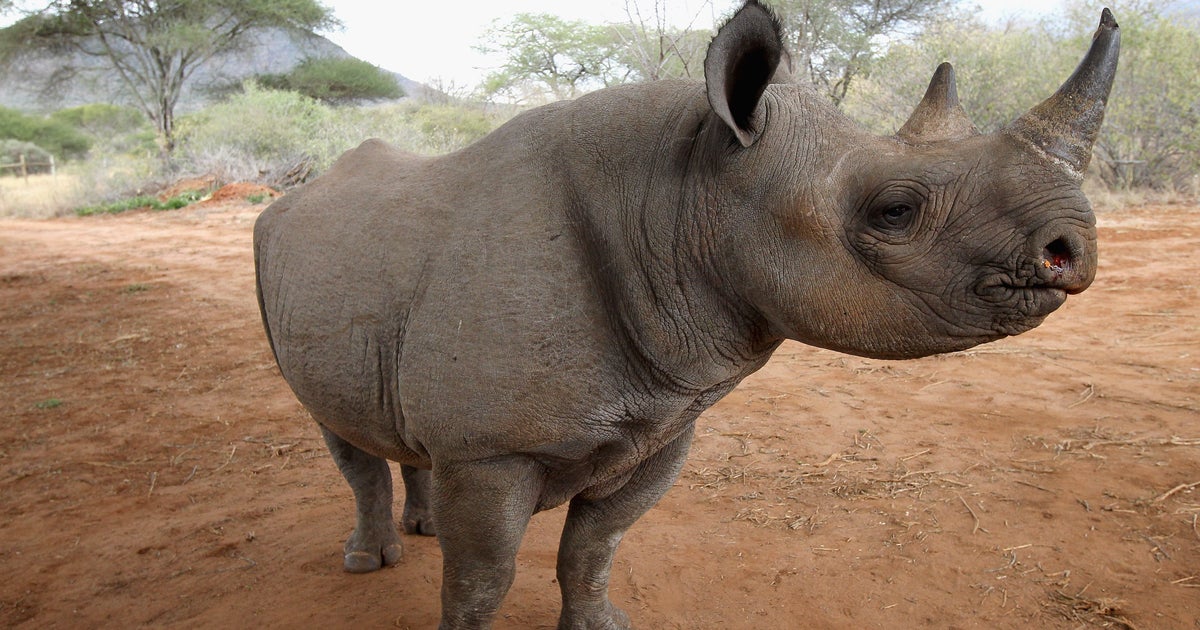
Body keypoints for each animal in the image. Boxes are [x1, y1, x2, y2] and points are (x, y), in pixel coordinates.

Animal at [253, 2, 1120, 627]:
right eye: (895, 211)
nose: (1070, 248)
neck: (683, 194)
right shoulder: (491, 447)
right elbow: (481, 582)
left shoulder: (666, 416)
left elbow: (594, 547)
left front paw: (599, 627)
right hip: (280, 251)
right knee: (337, 430)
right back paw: (369, 561)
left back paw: (418, 527)